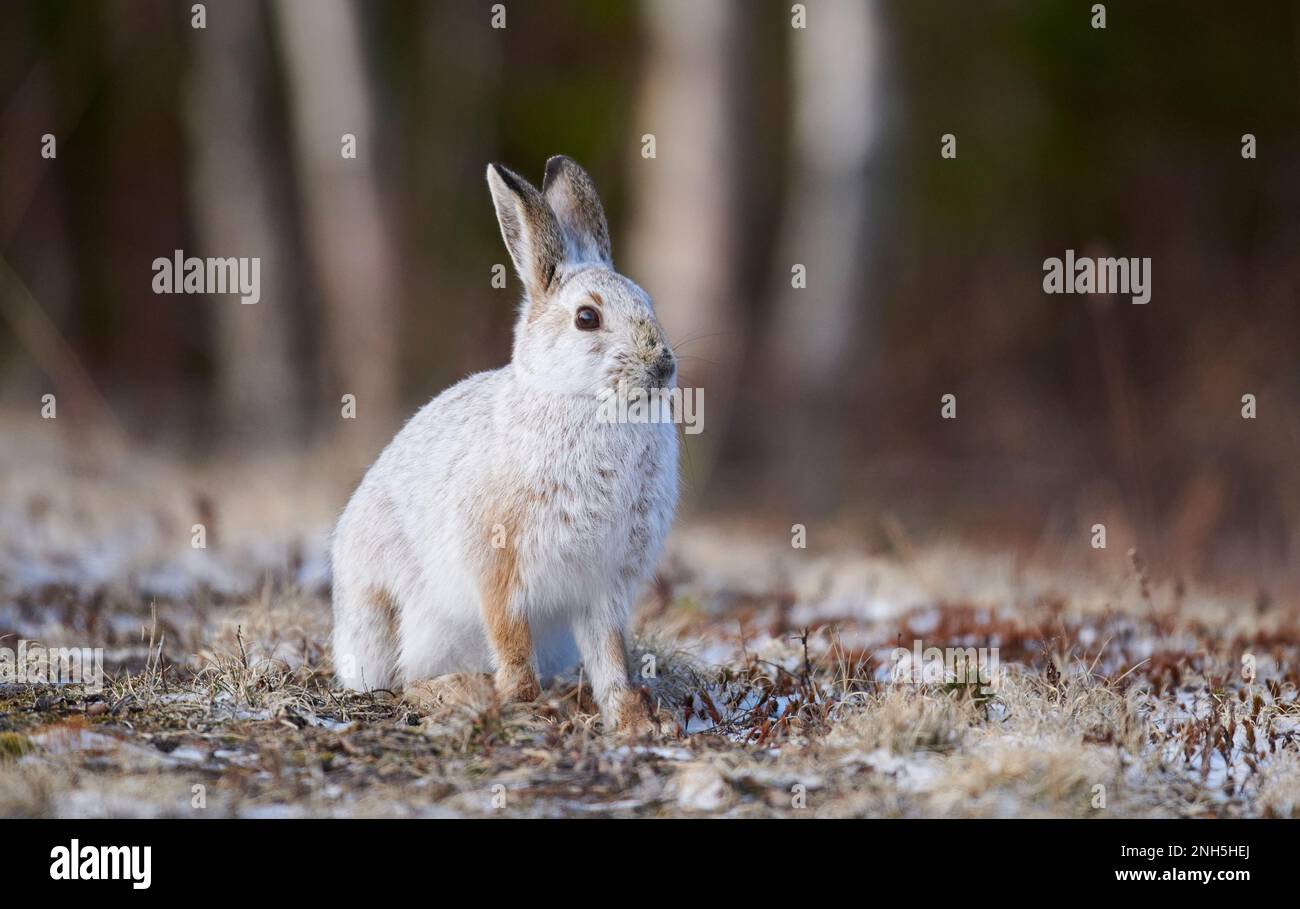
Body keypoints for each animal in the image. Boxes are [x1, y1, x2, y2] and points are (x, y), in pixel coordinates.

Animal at [330, 156, 678, 733]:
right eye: (587, 318)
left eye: (649, 303)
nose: (663, 366)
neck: (581, 400)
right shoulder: (498, 558)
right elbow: (510, 637)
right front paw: (524, 705)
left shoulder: (602, 584)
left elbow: (610, 654)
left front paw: (633, 721)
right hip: (388, 616)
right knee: (402, 683)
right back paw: (461, 693)